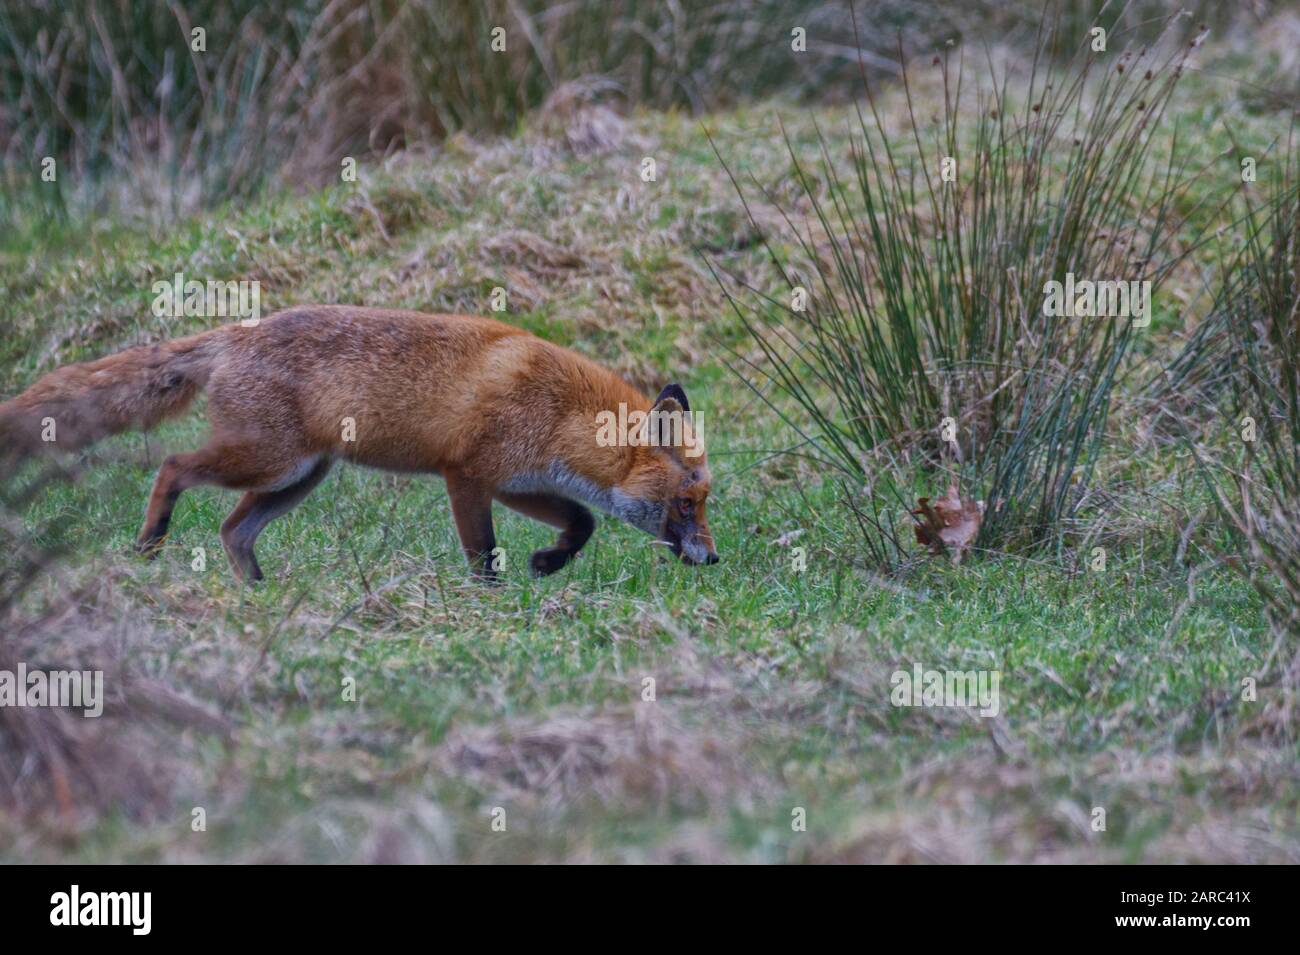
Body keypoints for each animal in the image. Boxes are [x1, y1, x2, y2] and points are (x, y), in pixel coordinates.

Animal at [0, 305, 718, 582]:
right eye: (687, 503)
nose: (713, 559)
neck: (557, 411)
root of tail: (237, 331)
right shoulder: (467, 474)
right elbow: (482, 550)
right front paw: (491, 597)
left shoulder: (520, 481)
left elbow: (583, 521)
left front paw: (547, 562)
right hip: (266, 460)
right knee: (174, 466)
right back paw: (151, 540)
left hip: (299, 477)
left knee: (233, 529)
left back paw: (257, 592)